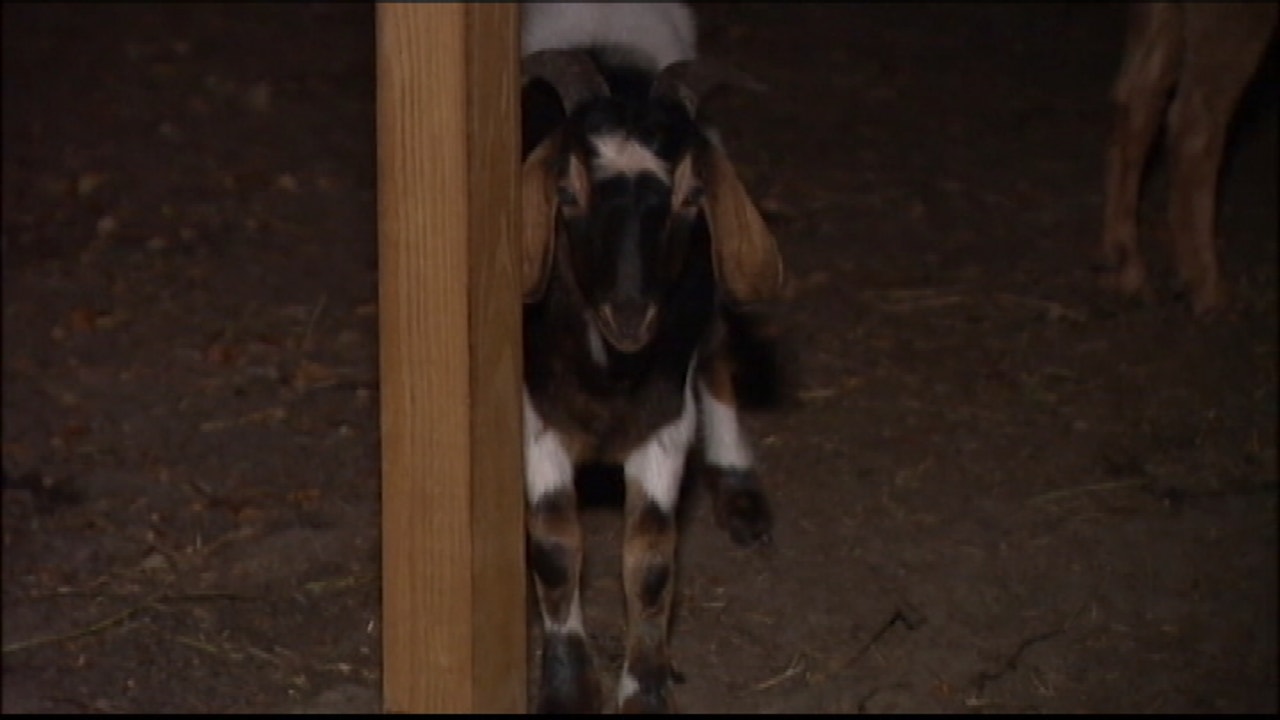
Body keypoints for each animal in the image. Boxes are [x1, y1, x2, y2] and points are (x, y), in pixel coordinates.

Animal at [519, 2, 785, 713]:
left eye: (693, 194)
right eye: (567, 189)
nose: (631, 312)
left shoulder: (664, 422)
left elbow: (652, 559)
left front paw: (644, 688)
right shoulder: (533, 415)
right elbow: (554, 543)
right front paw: (566, 688)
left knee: (717, 349)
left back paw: (741, 489)